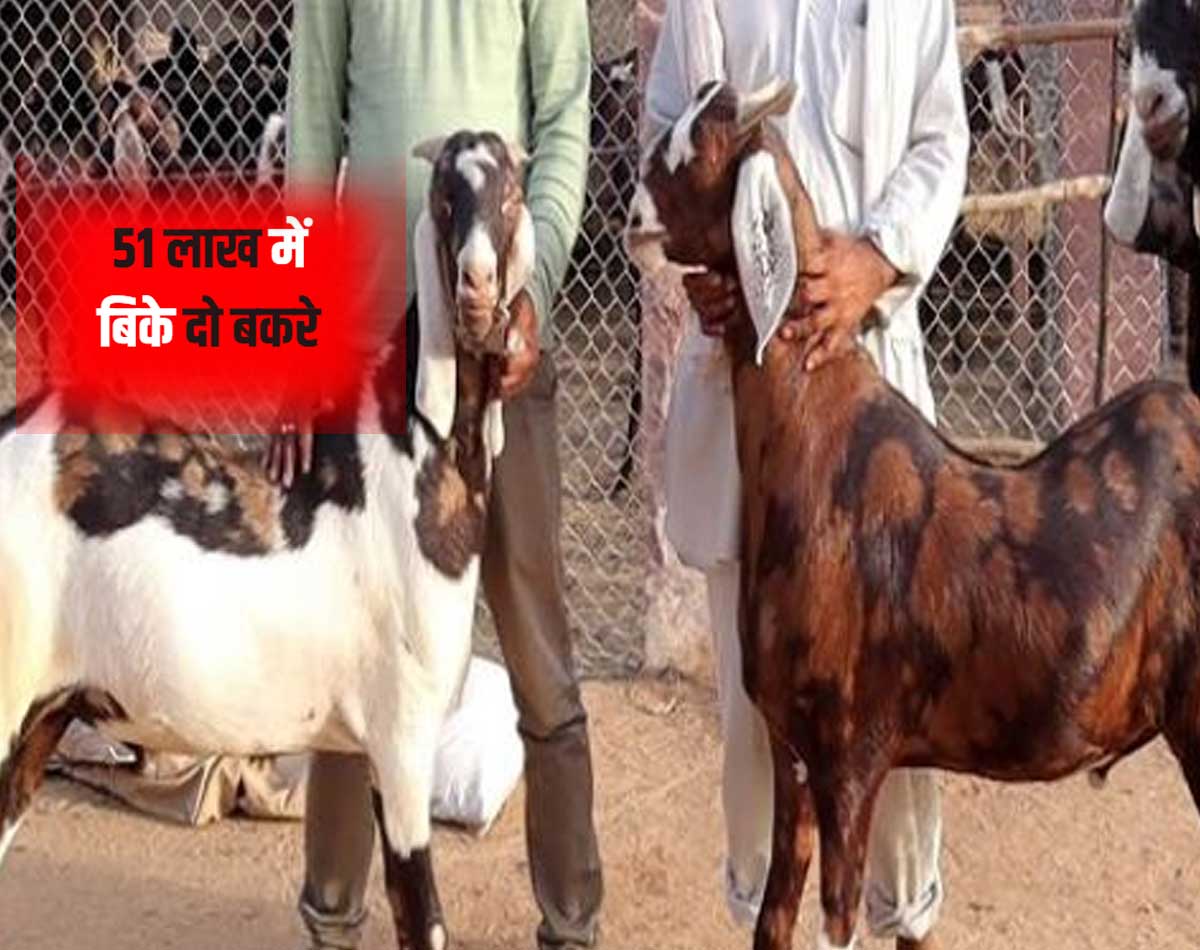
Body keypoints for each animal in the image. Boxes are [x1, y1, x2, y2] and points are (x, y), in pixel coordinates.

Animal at [0, 129, 533, 950]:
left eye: (510, 195)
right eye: (446, 196)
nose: (475, 290)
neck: (411, 460)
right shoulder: (403, 742)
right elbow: (424, 919)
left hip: (41, 715)